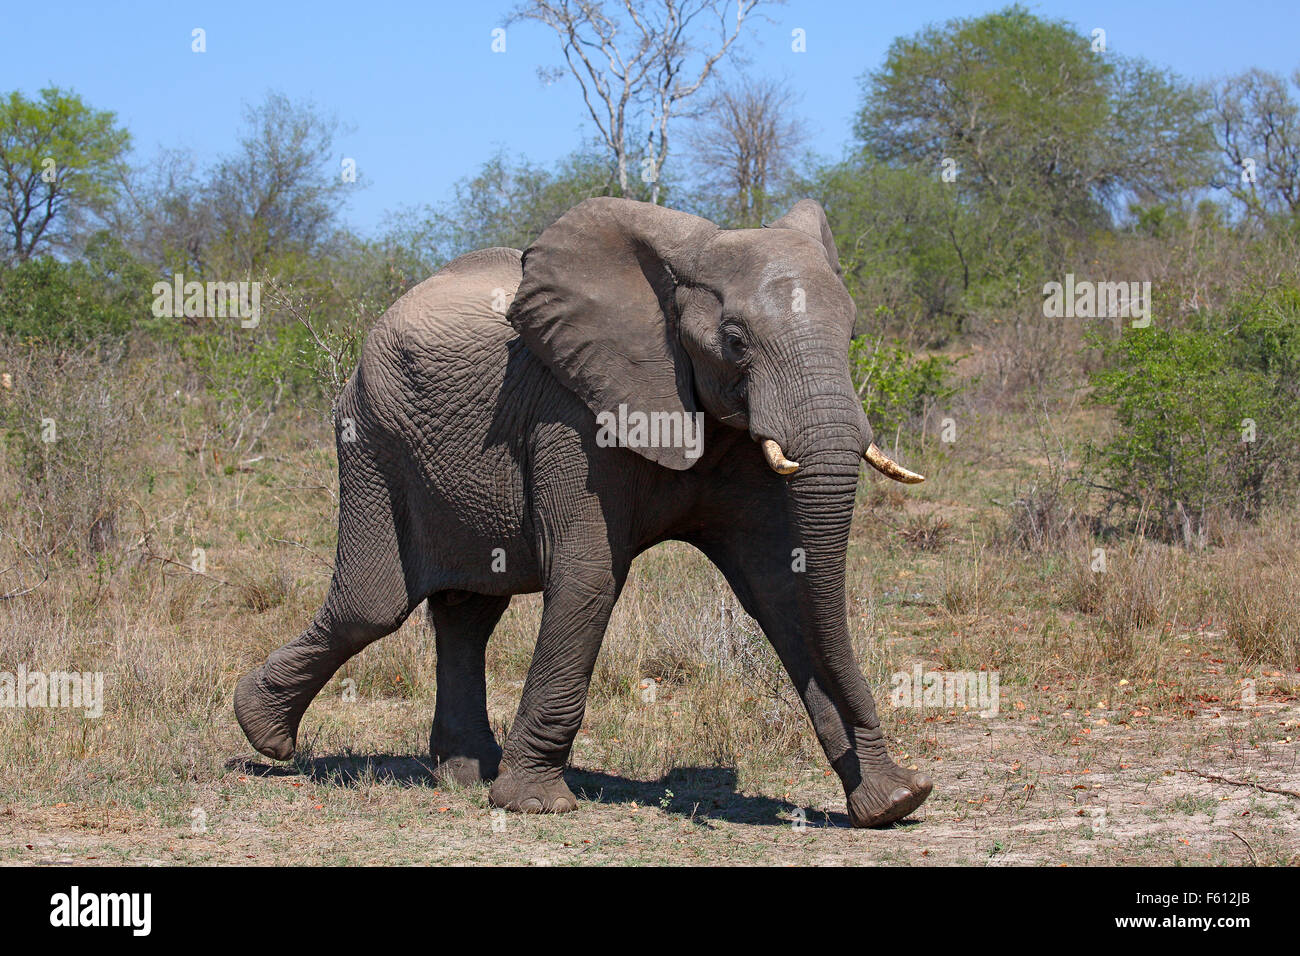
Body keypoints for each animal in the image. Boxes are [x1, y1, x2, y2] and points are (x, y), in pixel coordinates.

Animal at [235, 196, 933, 827]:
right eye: (735, 340)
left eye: (851, 335)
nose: (918, 785)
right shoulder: (571, 413)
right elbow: (589, 574)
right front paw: (535, 805)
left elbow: (781, 586)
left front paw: (890, 804)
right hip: (371, 434)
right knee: (372, 604)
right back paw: (263, 735)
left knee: (468, 614)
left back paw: (464, 774)